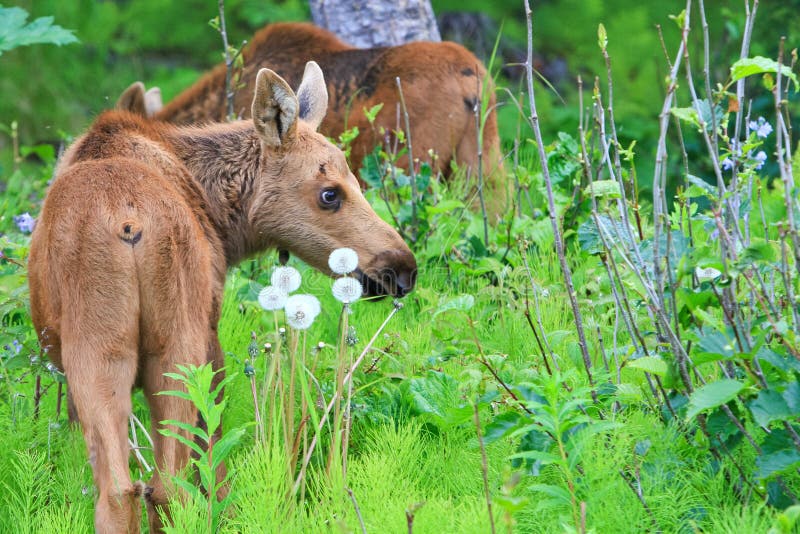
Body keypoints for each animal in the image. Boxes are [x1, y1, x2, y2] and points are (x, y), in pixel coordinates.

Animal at [28, 61, 416, 533]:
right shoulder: (209, 329)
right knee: (162, 483)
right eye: (330, 193)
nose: (403, 268)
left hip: (118, 344)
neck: (225, 221)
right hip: (166, 339)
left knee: (134, 487)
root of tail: (128, 221)